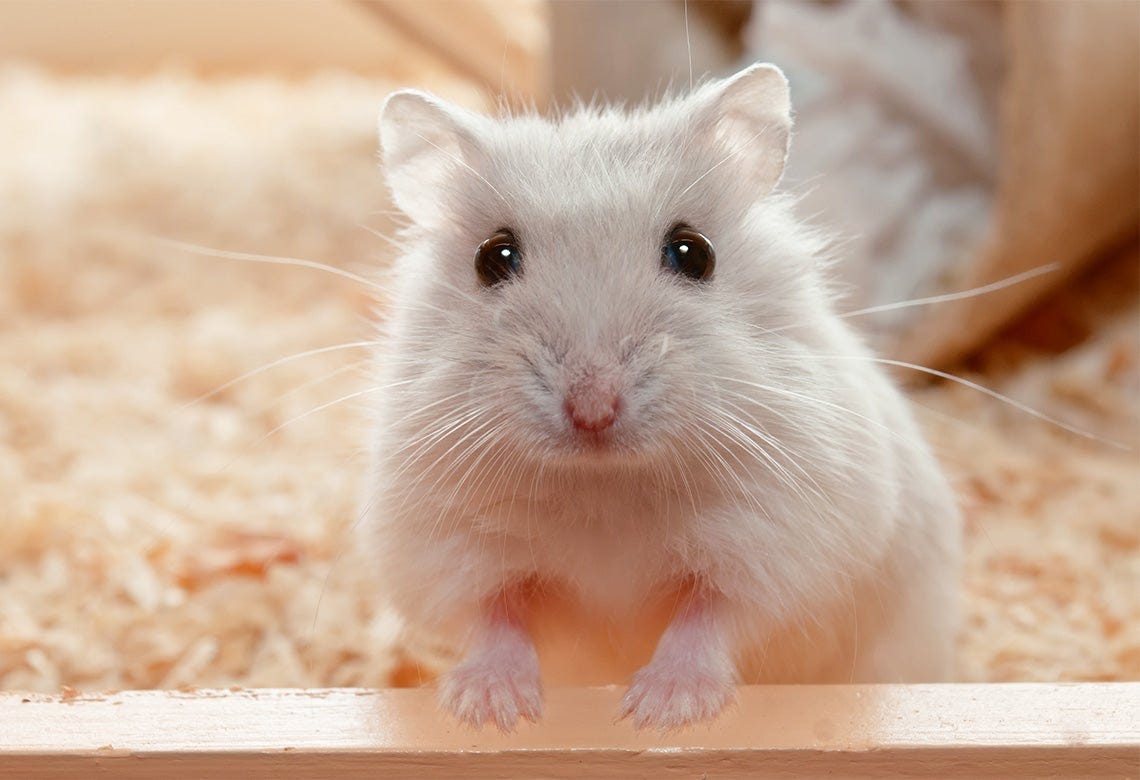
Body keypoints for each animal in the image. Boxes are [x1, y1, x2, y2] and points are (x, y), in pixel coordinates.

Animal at [362, 63, 962, 732]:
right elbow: (493, 617)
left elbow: (710, 617)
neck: (605, 486)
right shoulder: (447, 548)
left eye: (693, 252)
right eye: (493, 257)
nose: (593, 408)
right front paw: (494, 711)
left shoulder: (779, 543)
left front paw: (658, 711)